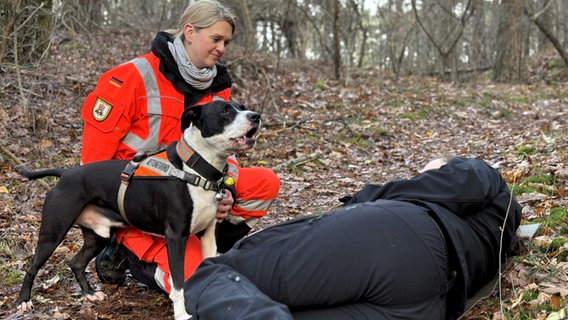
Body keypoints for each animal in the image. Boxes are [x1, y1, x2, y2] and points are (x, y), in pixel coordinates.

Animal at [15, 100, 260, 320]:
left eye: (241, 106)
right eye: (225, 110)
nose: (256, 116)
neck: (197, 169)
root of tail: (65, 173)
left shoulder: (208, 234)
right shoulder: (176, 238)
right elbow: (178, 283)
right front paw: (181, 314)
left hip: (98, 236)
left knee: (76, 262)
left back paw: (89, 294)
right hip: (53, 232)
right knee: (33, 266)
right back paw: (24, 301)